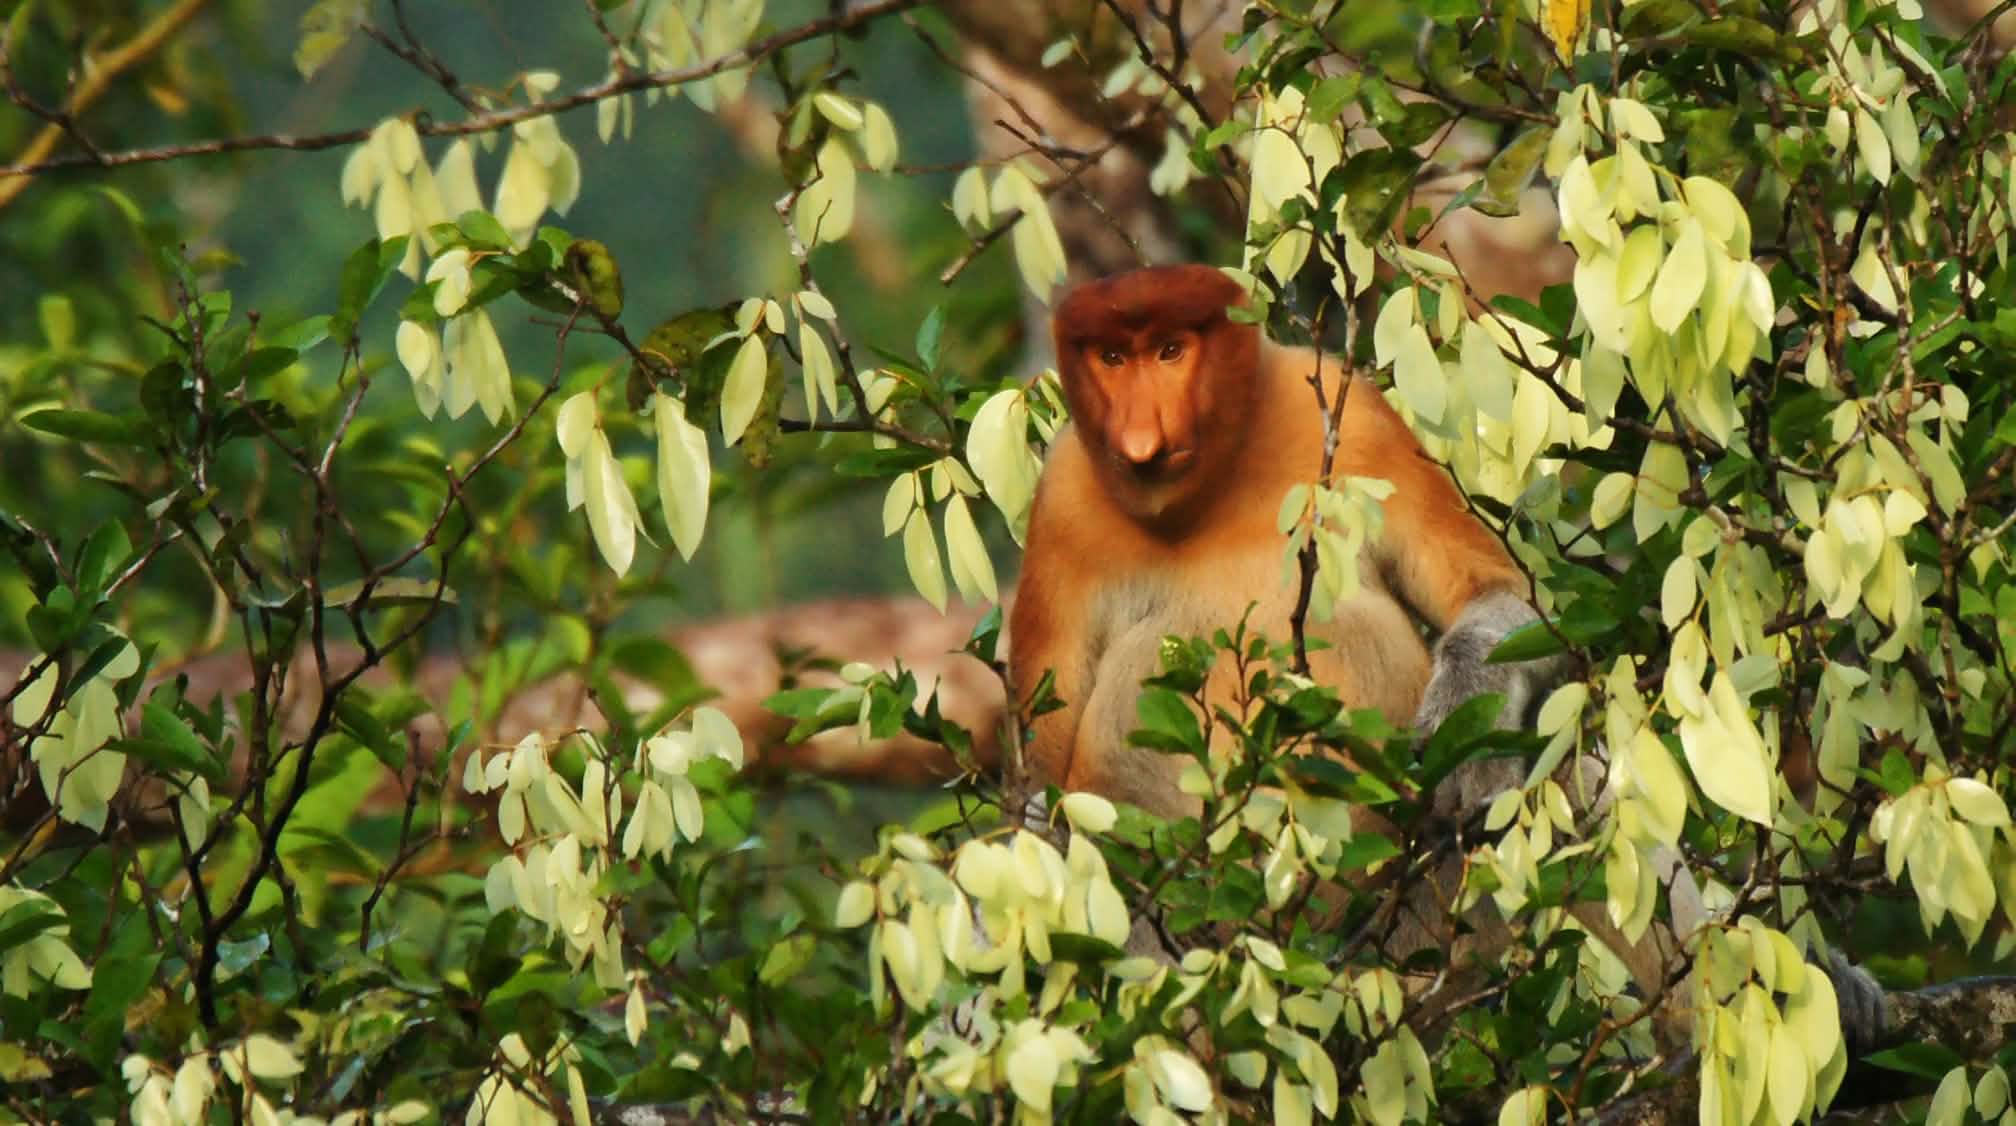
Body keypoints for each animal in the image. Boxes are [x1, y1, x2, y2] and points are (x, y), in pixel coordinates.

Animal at [1004, 263, 1887, 1051]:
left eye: (1168, 351)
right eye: (1110, 359)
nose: (1140, 438)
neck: (1206, 493)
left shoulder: (1351, 412)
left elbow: (1491, 597)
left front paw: (1460, 736)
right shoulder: (1064, 500)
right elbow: (1039, 775)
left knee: (1553, 770)